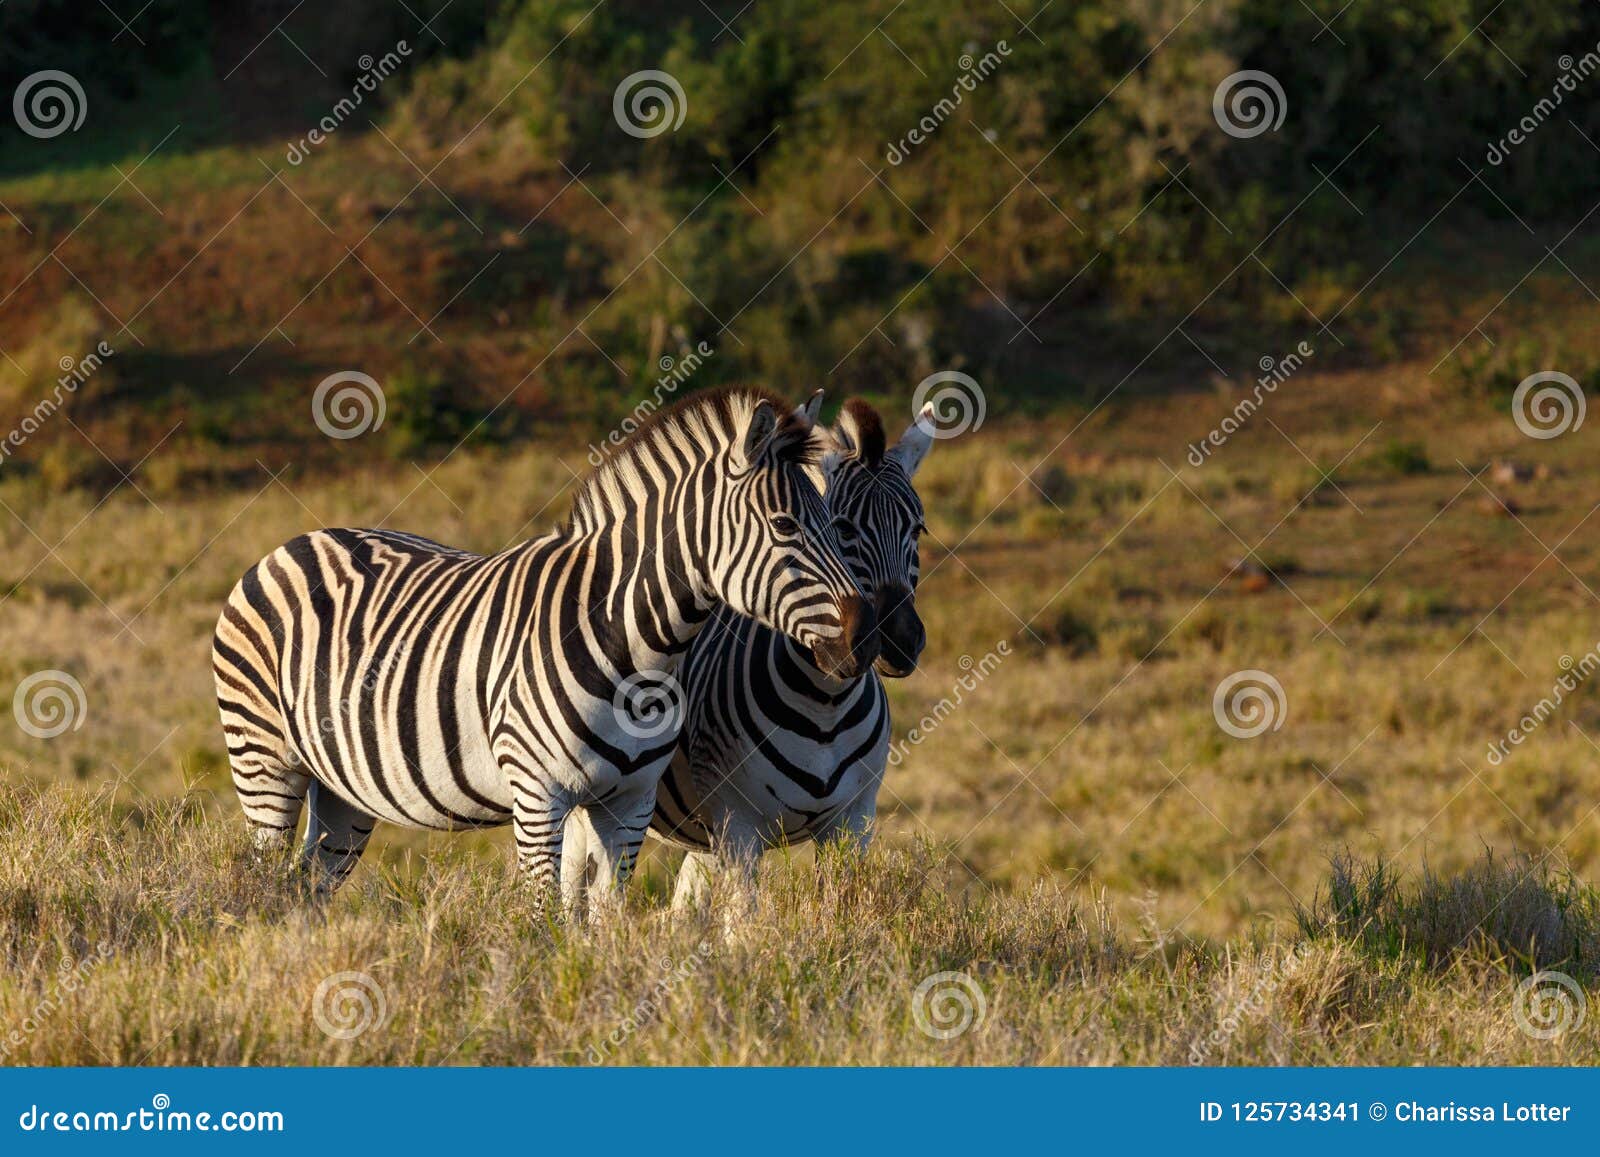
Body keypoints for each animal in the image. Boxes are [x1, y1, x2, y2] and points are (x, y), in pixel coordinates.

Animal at [211, 387, 878, 913]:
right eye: (786, 527)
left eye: (834, 522)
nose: (865, 637)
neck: (635, 644)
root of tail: (292, 544)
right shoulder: (537, 796)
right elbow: (544, 919)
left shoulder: (628, 803)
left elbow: (605, 922)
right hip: (264, 761)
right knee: (266, 883)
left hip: (341, 789)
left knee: (307, 889)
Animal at [563, 398, 937, 912]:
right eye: (842, 528)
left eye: (917, 528)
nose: (897, 640)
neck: (825, 703)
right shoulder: (740, 826)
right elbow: (744, 922)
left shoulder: (852, 824)